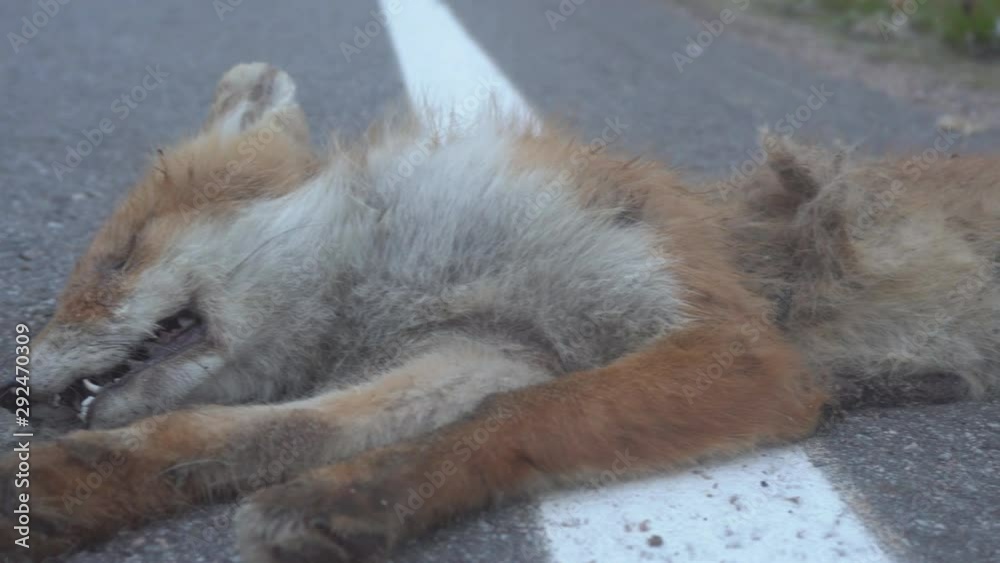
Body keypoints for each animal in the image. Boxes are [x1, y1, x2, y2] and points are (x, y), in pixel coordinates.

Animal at [0, 62, 997, 563]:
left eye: (120, 255)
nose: (21, 376)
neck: (415, 265)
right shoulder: (478, 350)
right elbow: (239, 432)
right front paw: (71, 483)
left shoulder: (738, 344)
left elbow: (521, 415)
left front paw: (362, 494)